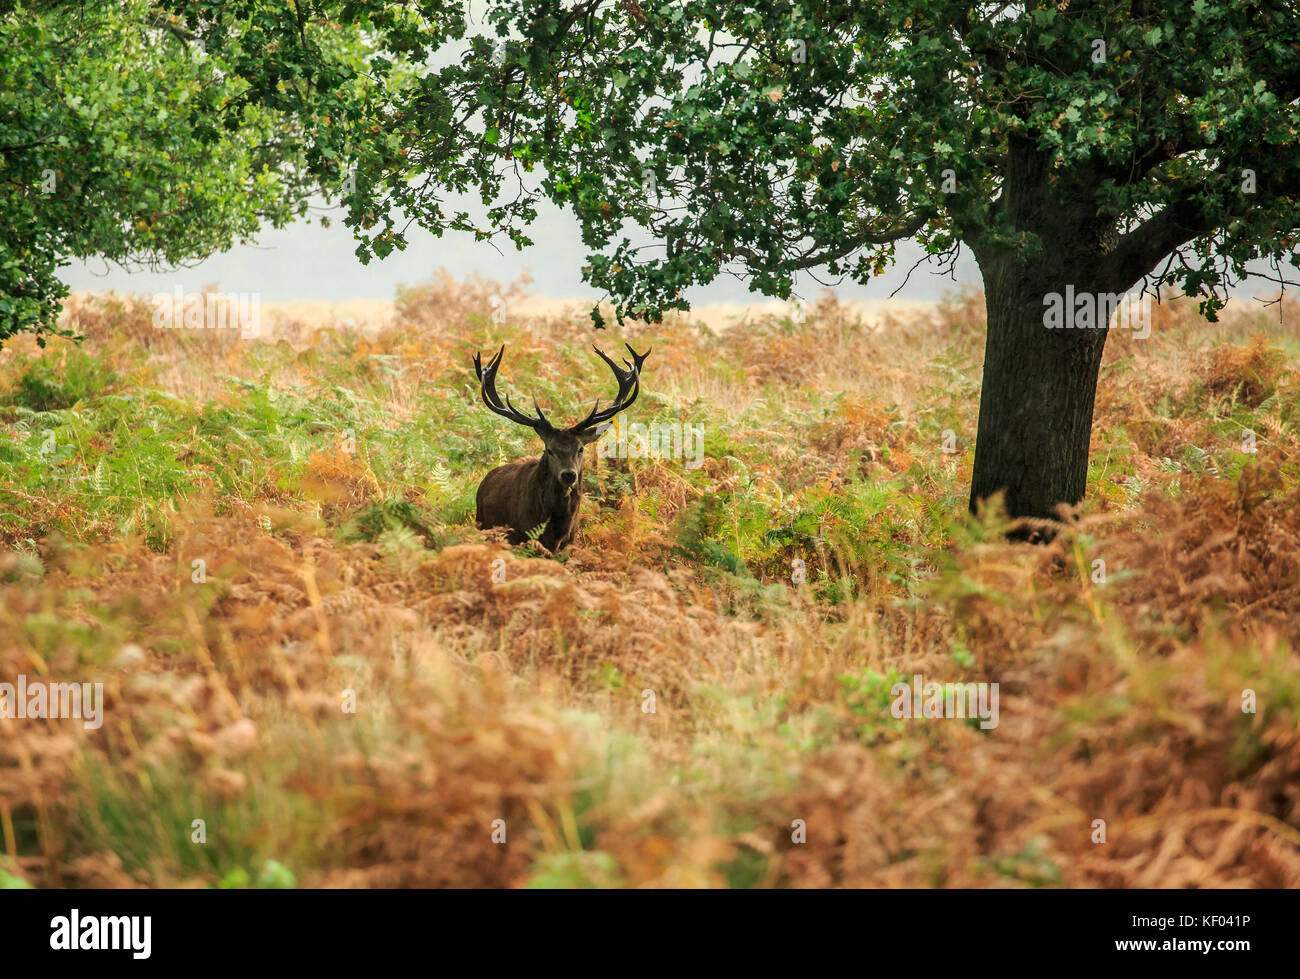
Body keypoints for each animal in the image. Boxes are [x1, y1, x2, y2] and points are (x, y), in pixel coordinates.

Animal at [472, 342, 650, 552]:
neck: (555, 532)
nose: (568, 475)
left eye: (580, 449)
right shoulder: (521, 538)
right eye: (549, 450)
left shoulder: (569, 545)